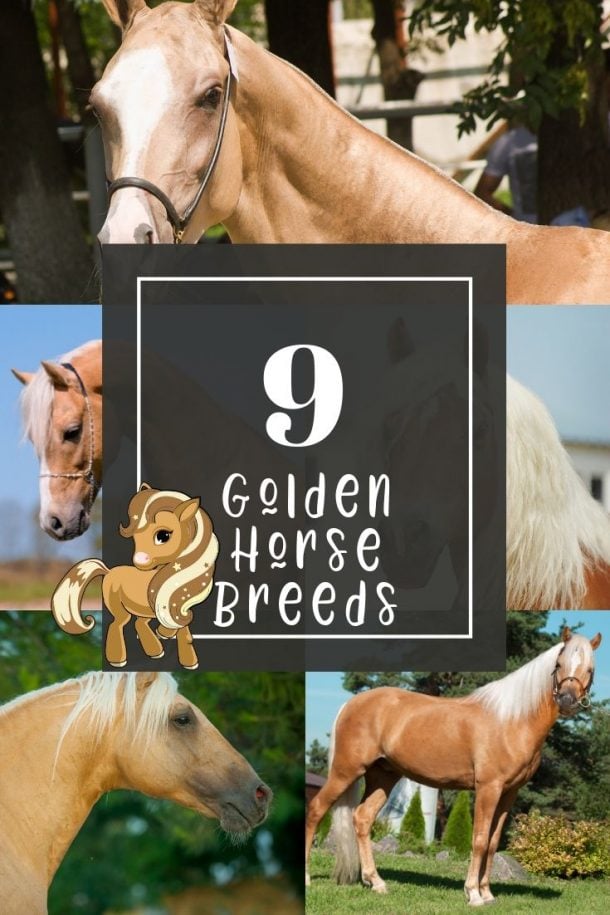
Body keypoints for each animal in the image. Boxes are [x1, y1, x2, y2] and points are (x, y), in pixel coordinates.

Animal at [51, 483, 219, 669]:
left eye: (163, 535)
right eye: (135, 535)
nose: (139, 560)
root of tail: (109, 571)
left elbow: (184, 630)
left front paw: (188, 660)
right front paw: (165, 635)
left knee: (139, 623)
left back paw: (154, 650)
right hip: (119, 608)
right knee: (118, 623)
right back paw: (120, 659)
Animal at [305, 627, 601, 906]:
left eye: (590, 669)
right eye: (559, 663)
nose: (567, 700)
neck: (512, 720)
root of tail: (351, 704)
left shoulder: (509, 793)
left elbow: (493, 843)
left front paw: (488, 893)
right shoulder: (488, 788)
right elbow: (479, 839)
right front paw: (474, 895)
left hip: (383, 776)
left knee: (362, 818)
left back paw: (376, 882)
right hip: (346, 771)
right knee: (316, 810)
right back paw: (307, 877)